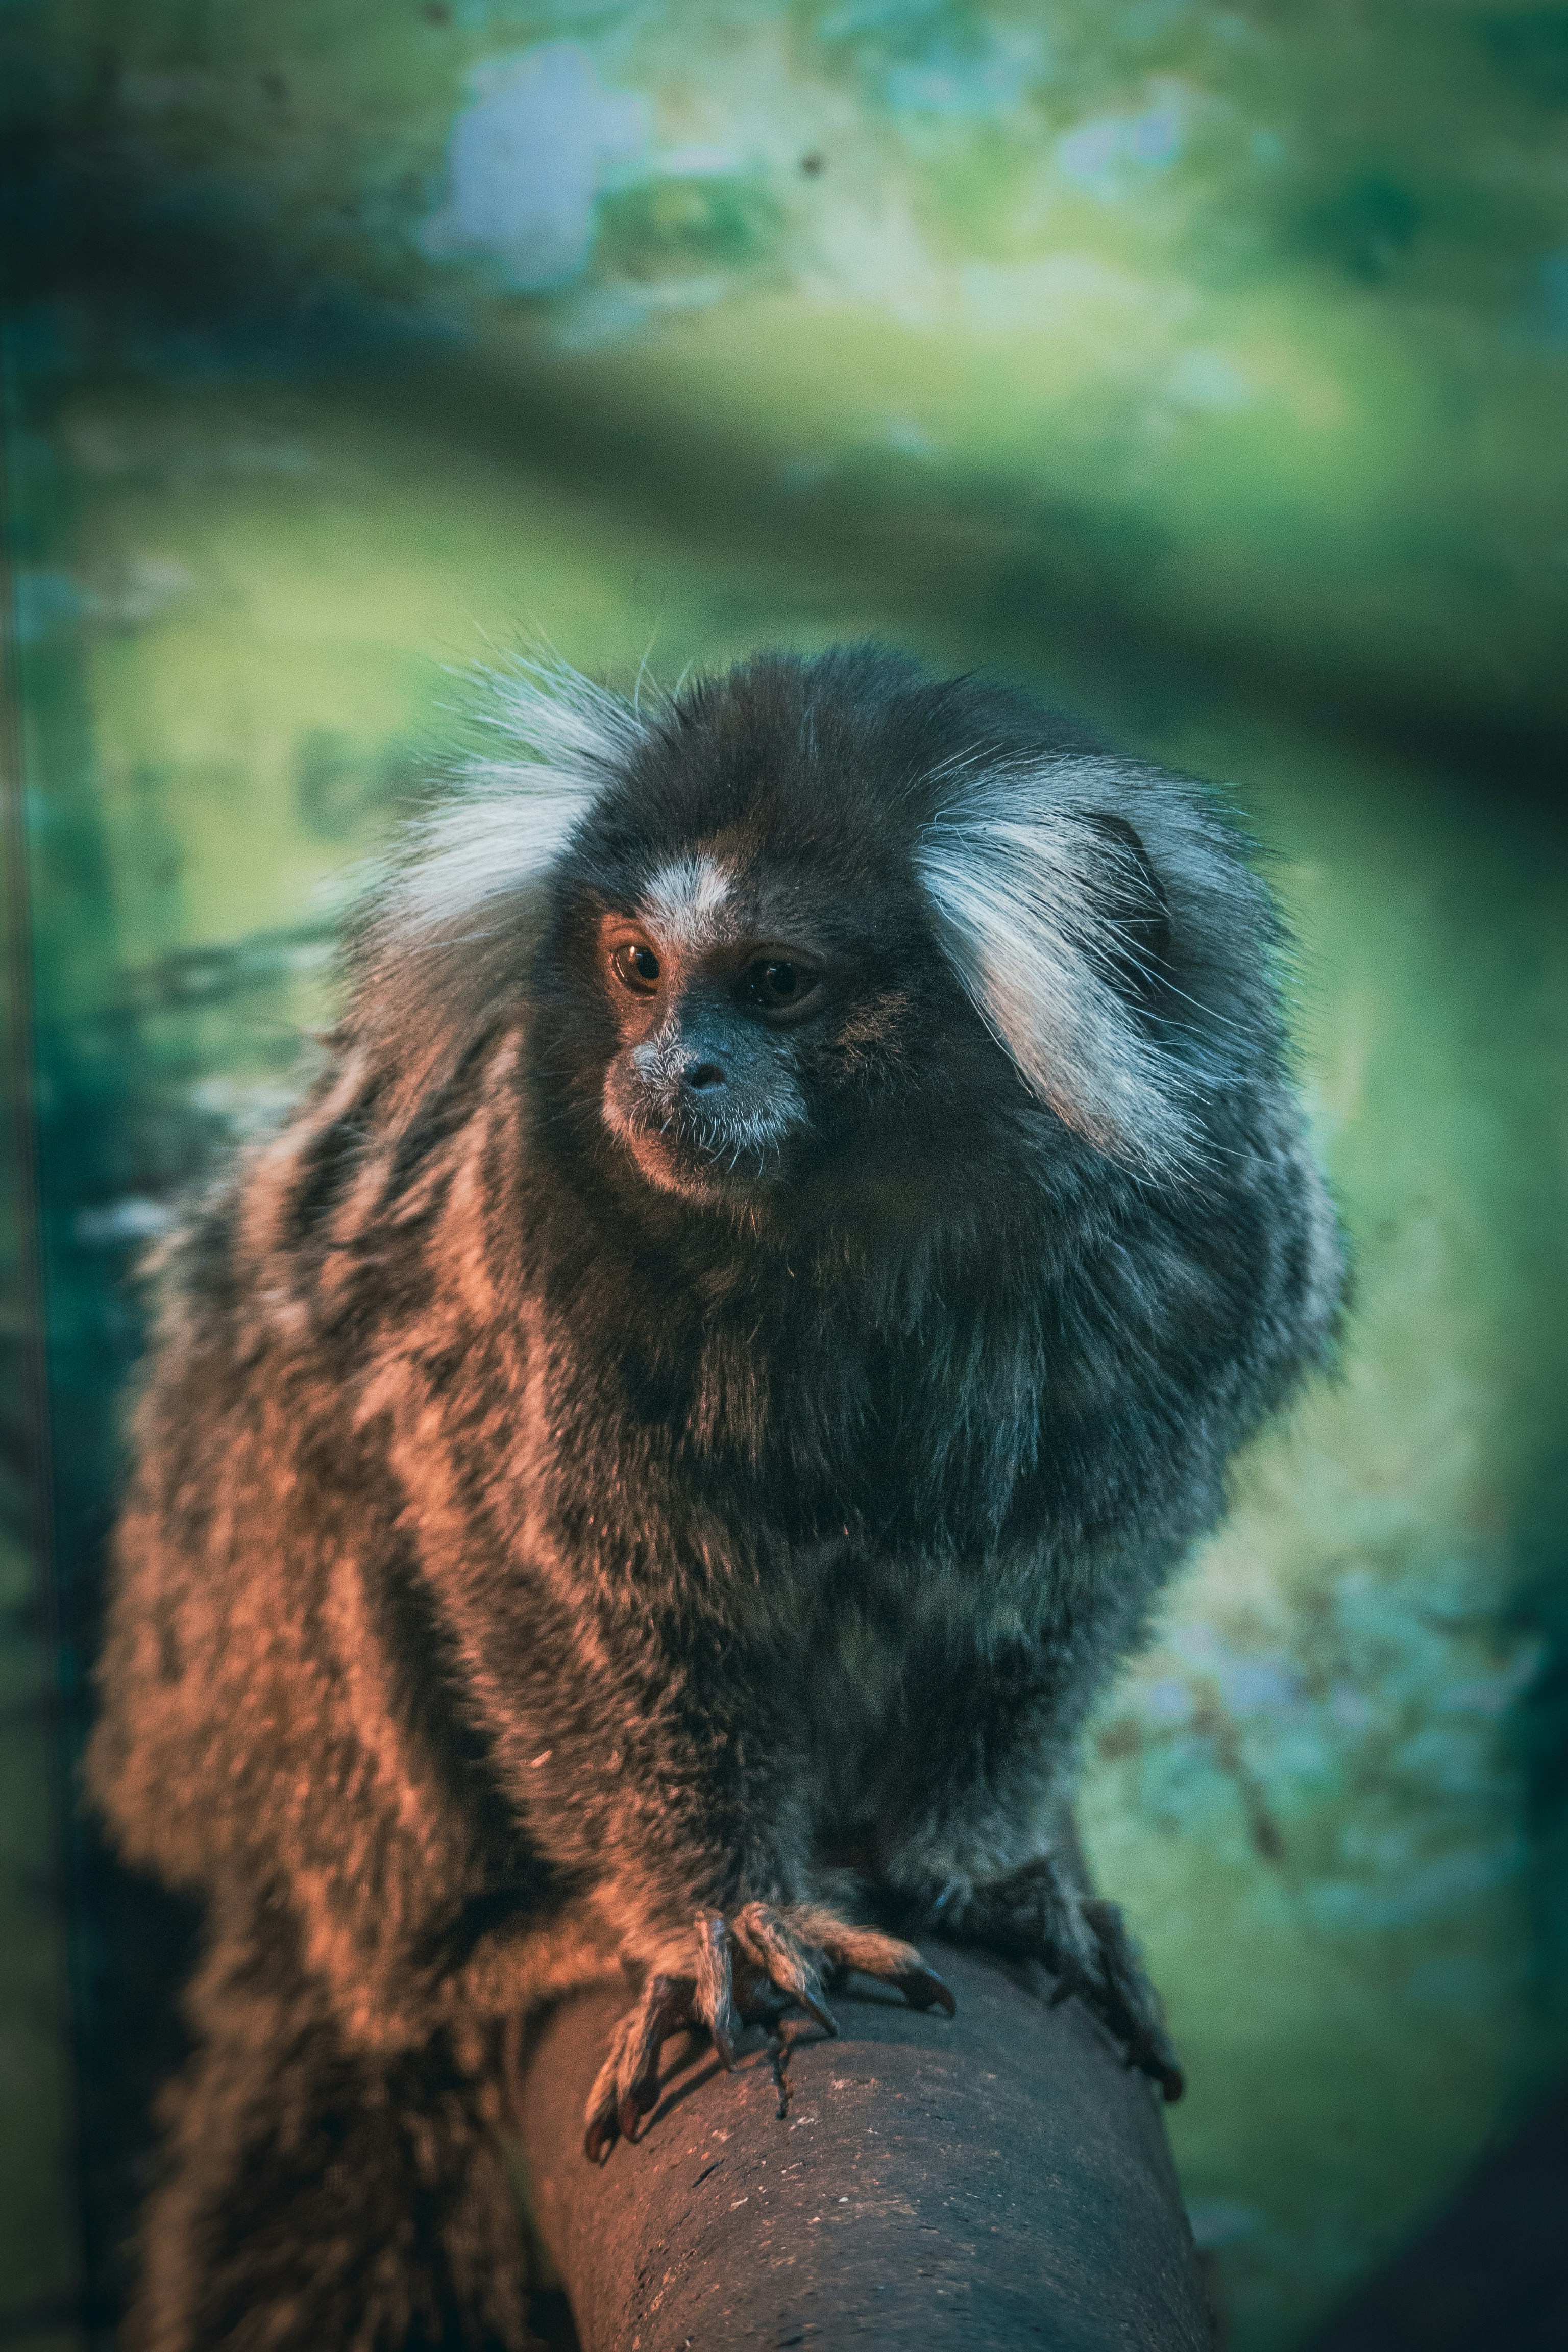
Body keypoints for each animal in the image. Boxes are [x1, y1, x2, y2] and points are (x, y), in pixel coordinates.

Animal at [87, 645, 1345, 2352]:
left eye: (775, 984)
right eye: (635, 966)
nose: (665, 1067)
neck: (873, 1242)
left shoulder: (1209, 1277)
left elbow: (1059, 1601)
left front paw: (970, 1861)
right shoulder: (530, 1253)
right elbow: (532, 1558)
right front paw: (719, 1911)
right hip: (218, 1720)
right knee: (320, 1502)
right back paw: (463, 1951)